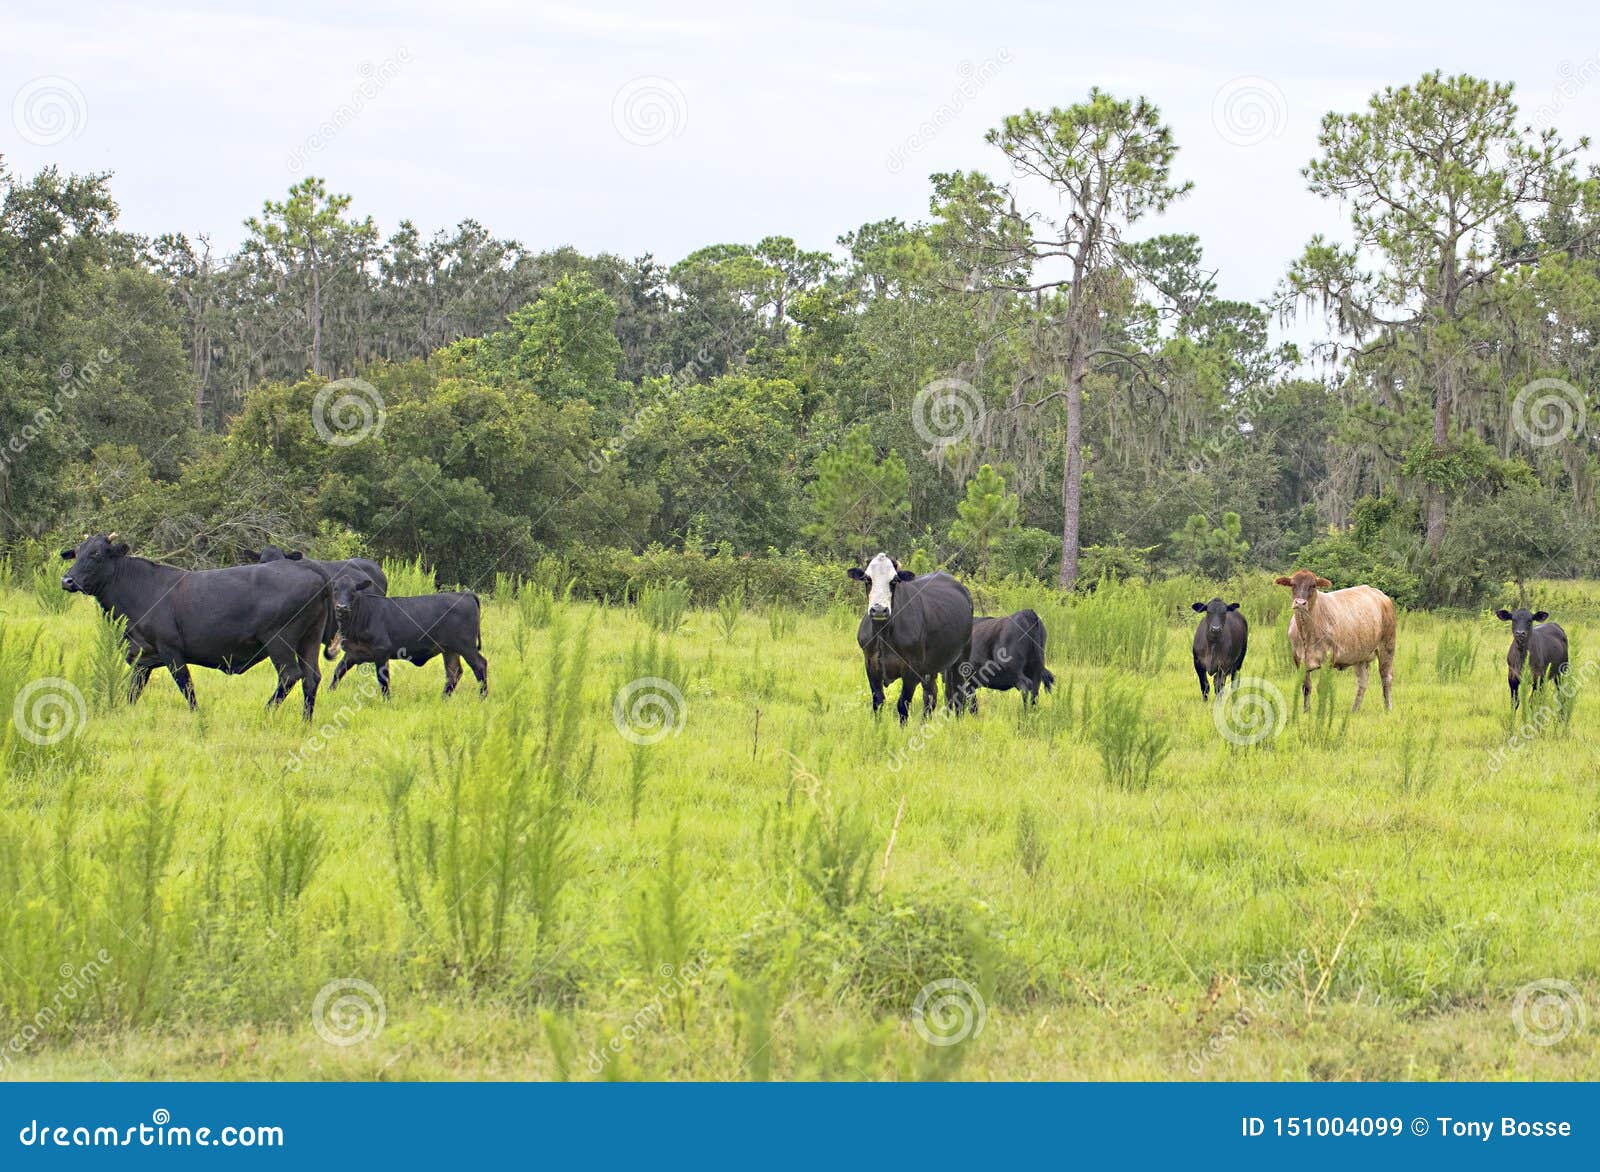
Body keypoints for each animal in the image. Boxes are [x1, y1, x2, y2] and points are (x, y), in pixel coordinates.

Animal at [60, 533, 329, 719]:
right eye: (77, 552)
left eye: (96, 554)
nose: (67, 580)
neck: (139, 589)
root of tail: (311, 570)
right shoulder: (141, 655)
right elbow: (133, 692)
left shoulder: (171, 651)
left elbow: (186, 686)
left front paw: (197, 717)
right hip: (310, 638)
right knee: (311, 677)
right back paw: (306, 721)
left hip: (279, 640)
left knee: (290, 675)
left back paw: (265, 712)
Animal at [327, 575, 487, 699]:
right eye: (335, 590)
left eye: (353, 591)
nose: (342, 607)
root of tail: (464, 594)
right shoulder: (353, 652)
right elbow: (338, 671)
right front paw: (328, 693)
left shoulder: (381, 651)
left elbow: (383, 679)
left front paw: (387, 701)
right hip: (449, 649)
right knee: (453, 672)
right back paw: (444, 698)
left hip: (466, 646)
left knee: (480, 665)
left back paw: (482, 697)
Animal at [847, 553, 973, 724]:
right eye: (867, 579)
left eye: (894, 580)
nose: (879, 610)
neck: (884, 635)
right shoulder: (870, 664)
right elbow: (878, 701)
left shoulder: (912, 668)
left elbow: (902, 704)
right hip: (931, 667)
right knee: (931, 695)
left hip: (960, 659)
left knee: (957, 695)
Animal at [1274, 569, 1396, 712]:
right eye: (1292, 584)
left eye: (1313, 585)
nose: (1300, 603)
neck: (1306, 634)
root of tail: (1380, 594)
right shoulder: (1299, 660)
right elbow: (1306, 687)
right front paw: (1306, 711)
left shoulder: (1327, 660)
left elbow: (1321, 687)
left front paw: (1320, 712)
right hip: (1359, 656)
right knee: (1362, 681)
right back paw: (1354, 710)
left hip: (1387, 646)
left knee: (1386, 677)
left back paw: (1388, 708)